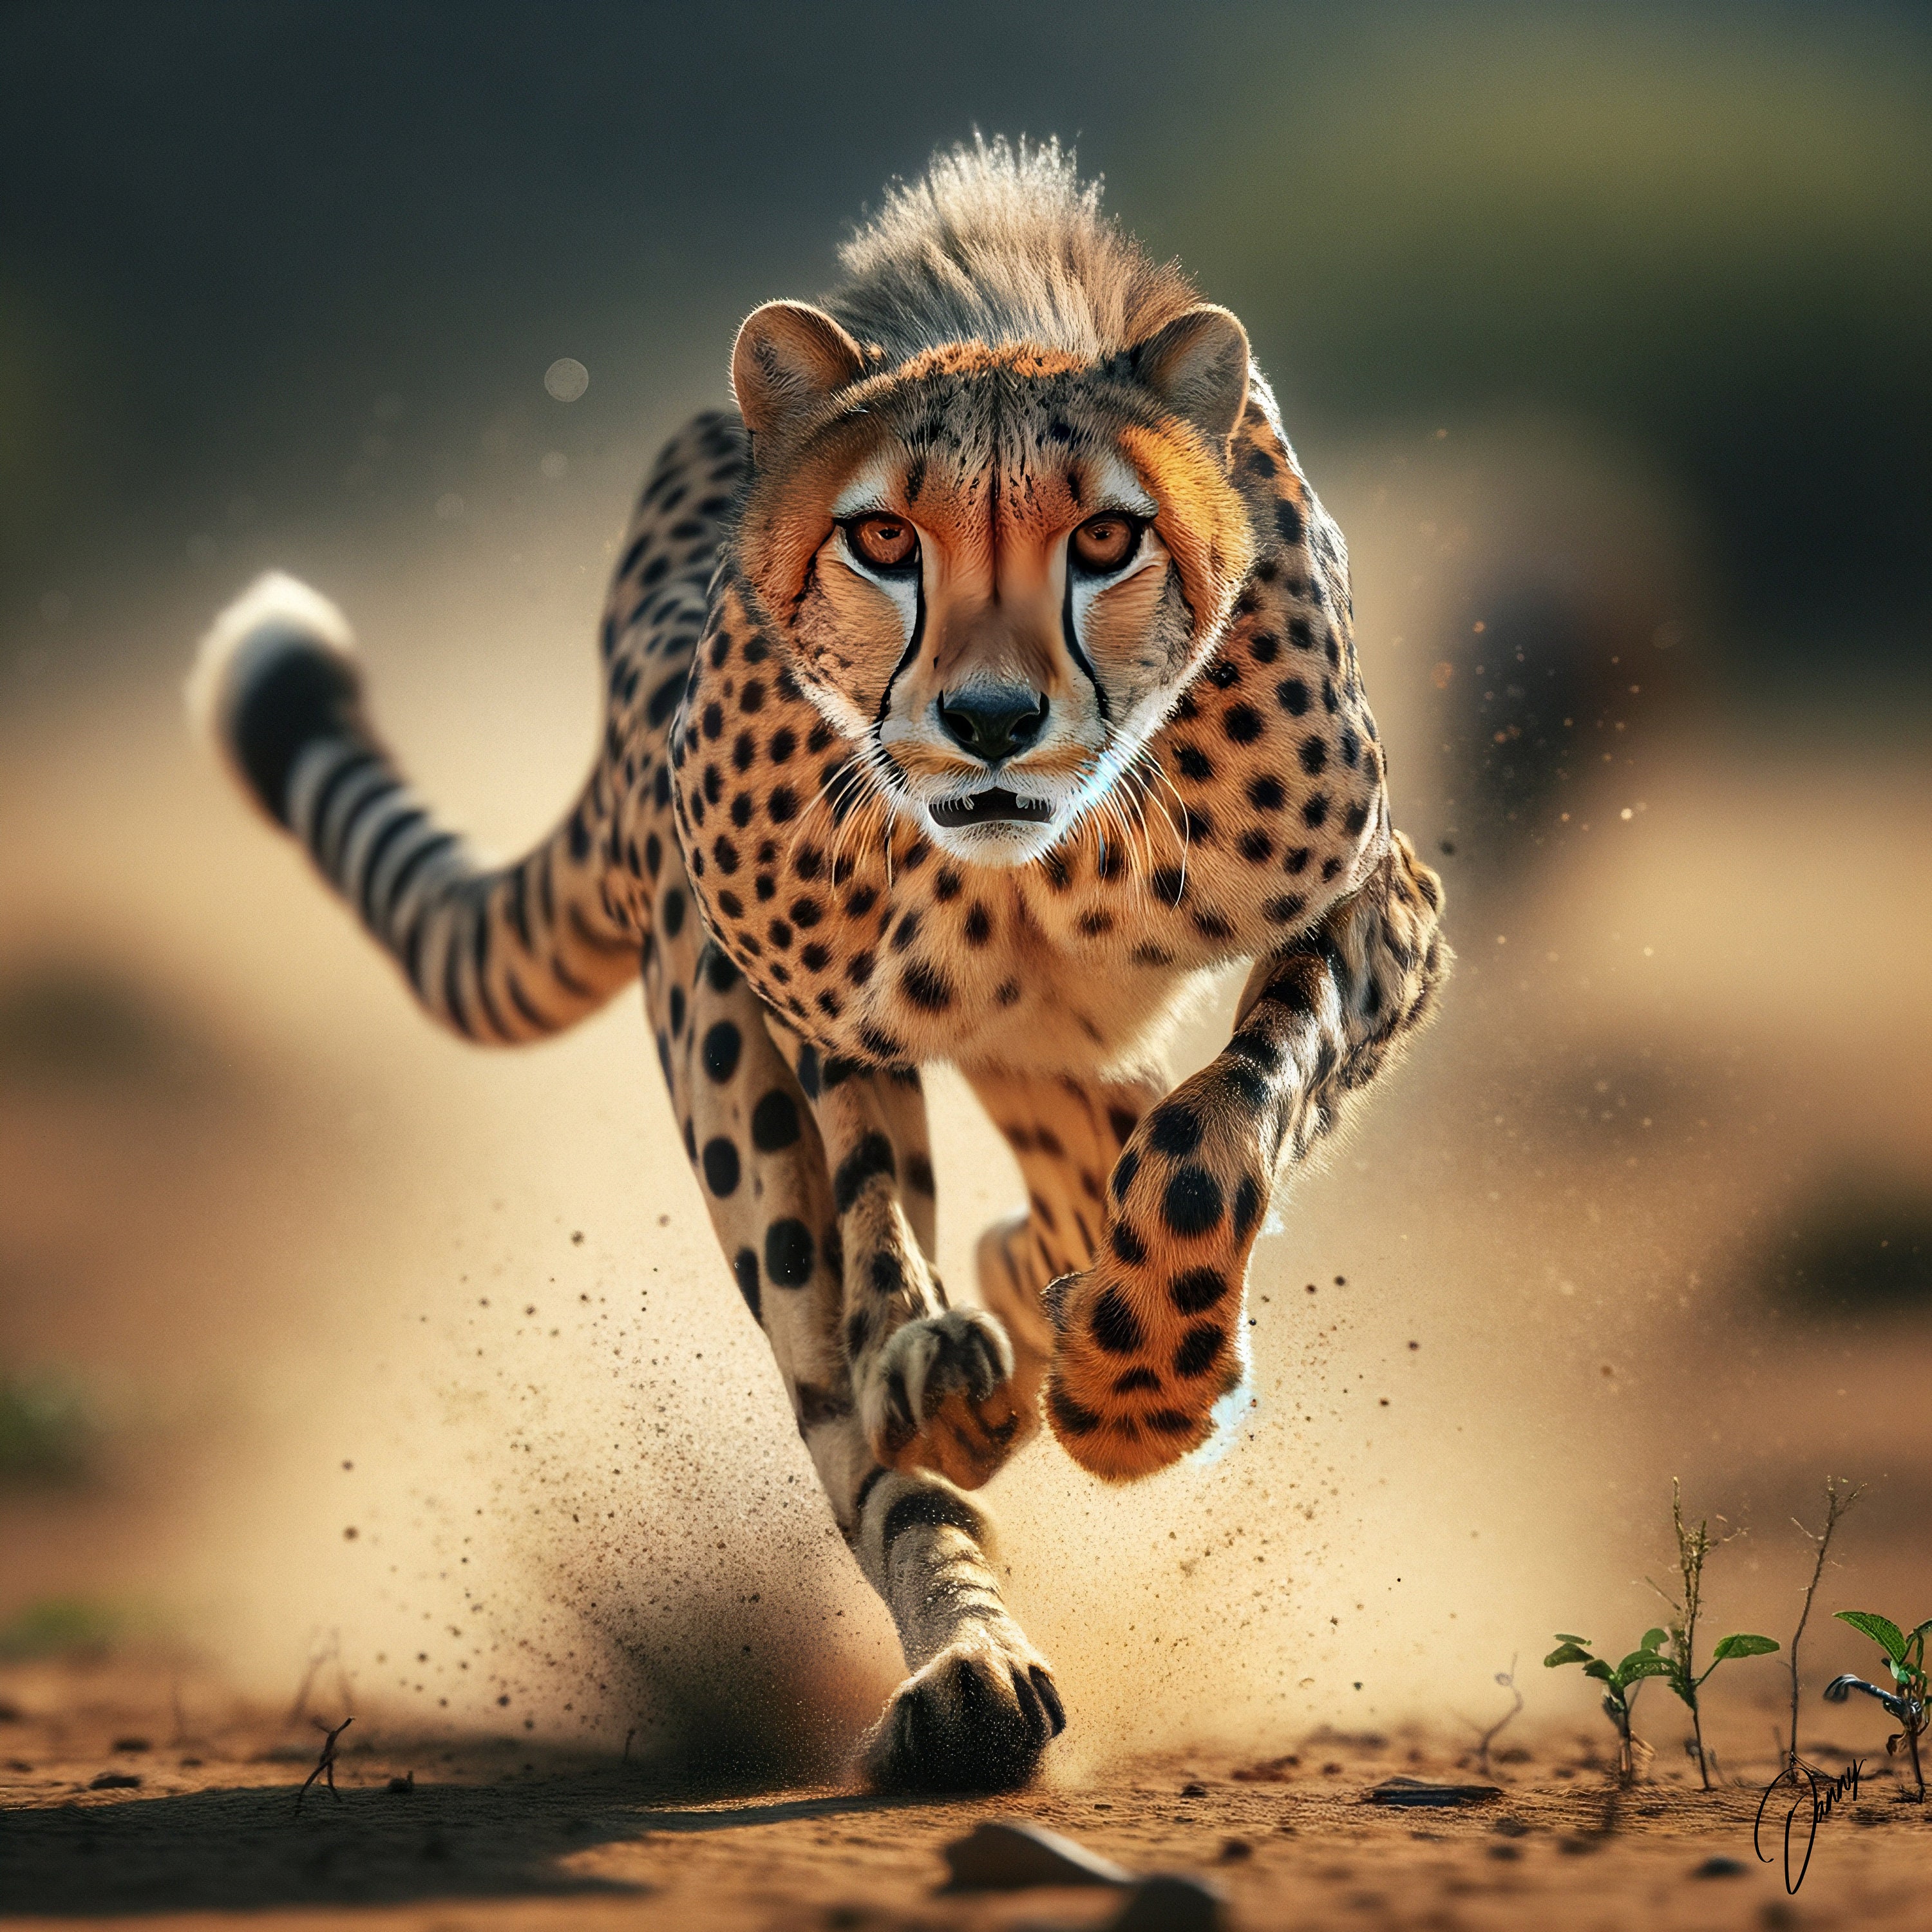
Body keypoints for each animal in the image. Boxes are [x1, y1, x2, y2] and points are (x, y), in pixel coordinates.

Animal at [187, 138, 1448, 1793]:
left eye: (1106, 539)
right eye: (883, 540)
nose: (989, 721)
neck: (1057, 856)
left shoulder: (1375, 902)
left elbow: (1214, 1125)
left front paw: (1136, 1383)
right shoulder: (816, 999)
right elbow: (879, 1219)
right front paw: (964, 1360)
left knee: (1093, 1155)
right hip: (740, 1059)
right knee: (864, 1391)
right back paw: (971, 1654)